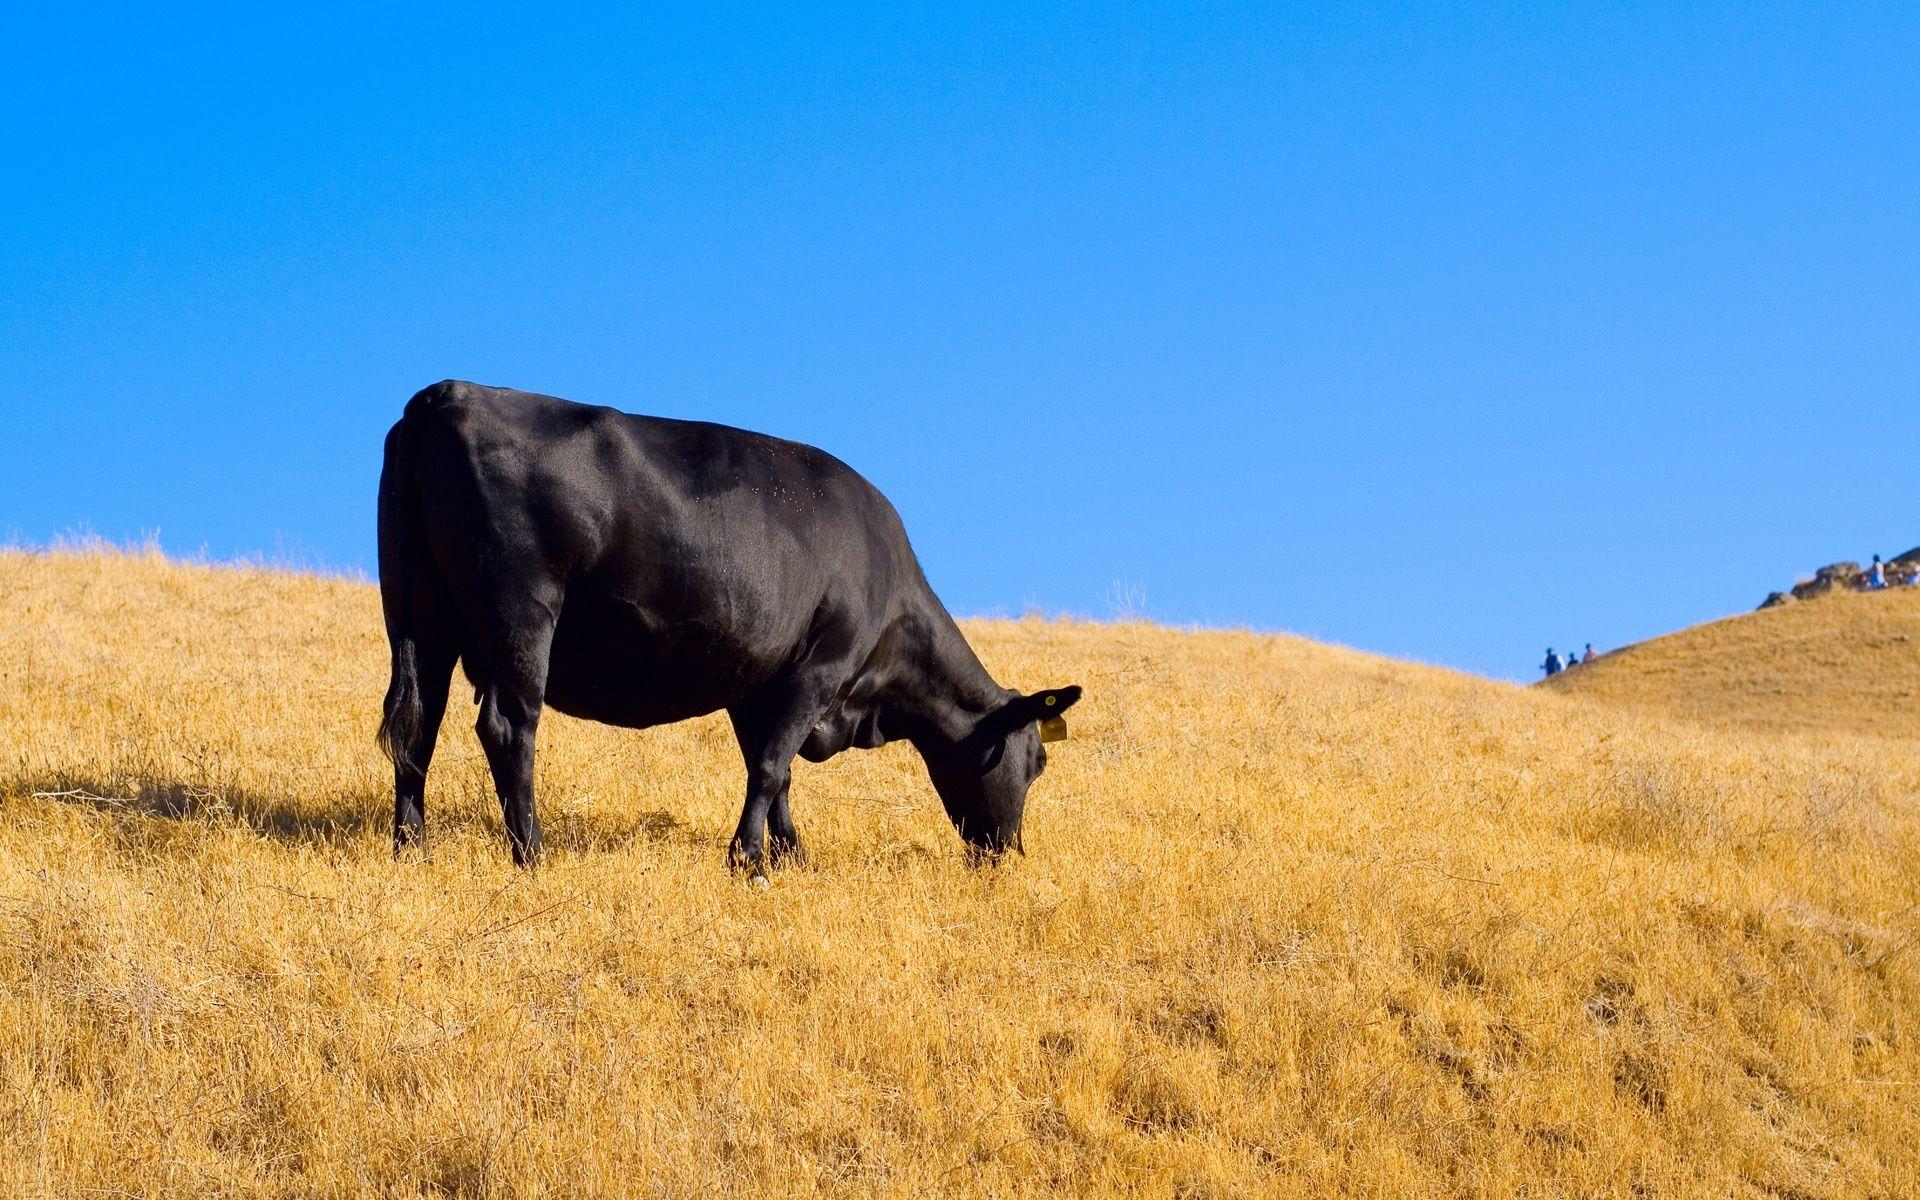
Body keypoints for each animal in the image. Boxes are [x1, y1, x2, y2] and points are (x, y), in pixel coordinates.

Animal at [376, 380, 1082, 871]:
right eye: (1038, 760)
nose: (1009, 853)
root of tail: (444, 395)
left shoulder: (760, 680)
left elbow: (777, 770)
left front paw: (791, 856)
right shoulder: (820, 665)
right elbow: (770, 766)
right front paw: (747, 860)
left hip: (418, 614)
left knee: (418, 726)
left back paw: (412, 847)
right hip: (522, 614)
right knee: (508, 728)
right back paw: (530, 853)